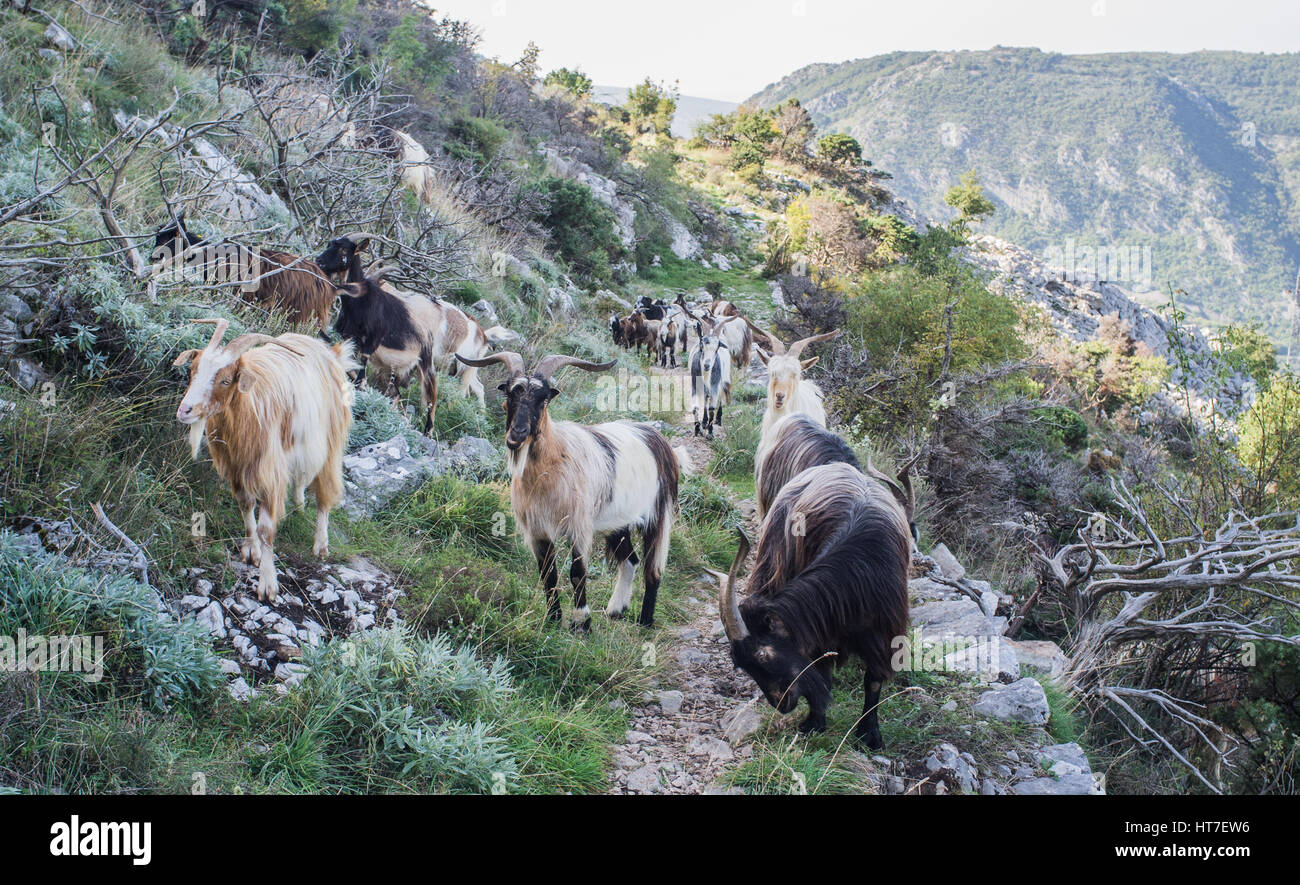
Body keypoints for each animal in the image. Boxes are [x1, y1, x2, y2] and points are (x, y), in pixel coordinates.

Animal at [174, 318, 356, 602]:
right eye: (193, 369)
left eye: (225, 380)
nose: (185, 410)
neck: (247, 406)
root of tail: (332, 353)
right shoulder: (237, 466)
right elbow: (245, 505)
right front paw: (251, 550)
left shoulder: (269, 470)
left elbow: (266, 529)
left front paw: (268, 585)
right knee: (300, 479)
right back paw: (299, 504)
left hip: (331, 442)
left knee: (325, 493)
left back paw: (321, 544)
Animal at [315, 234, 489, 433]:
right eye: (330, 243)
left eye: (343, 249)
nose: (319, 261)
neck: (361, 300)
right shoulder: (346, 336)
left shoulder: (370, 343)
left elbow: (360, 376)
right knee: (398, 394)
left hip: (429, 366)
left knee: (432, 399)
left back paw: (428, 431)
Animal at [456, 351, 679, 630]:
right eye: (510, 393)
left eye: (544, 399)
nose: (517, 434)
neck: (552, 461)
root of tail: (656, 437)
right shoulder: (538, 530)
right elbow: (548, 574)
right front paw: (553, 619)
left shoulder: (579, 526)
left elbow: (577, 572)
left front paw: (581, 621)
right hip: (617, 522)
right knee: (630, 560)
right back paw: (615, 610)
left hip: (657, 515)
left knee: (653, 567)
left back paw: (645, 621)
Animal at [710, 462, 910, 749]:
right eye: (742, 665)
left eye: (763, 655)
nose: (780, 703)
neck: (858, 569)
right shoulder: (820, 627)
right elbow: (821, 671)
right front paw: (815, 722)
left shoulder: (885, 632)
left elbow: (872, 681)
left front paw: (870, 734)